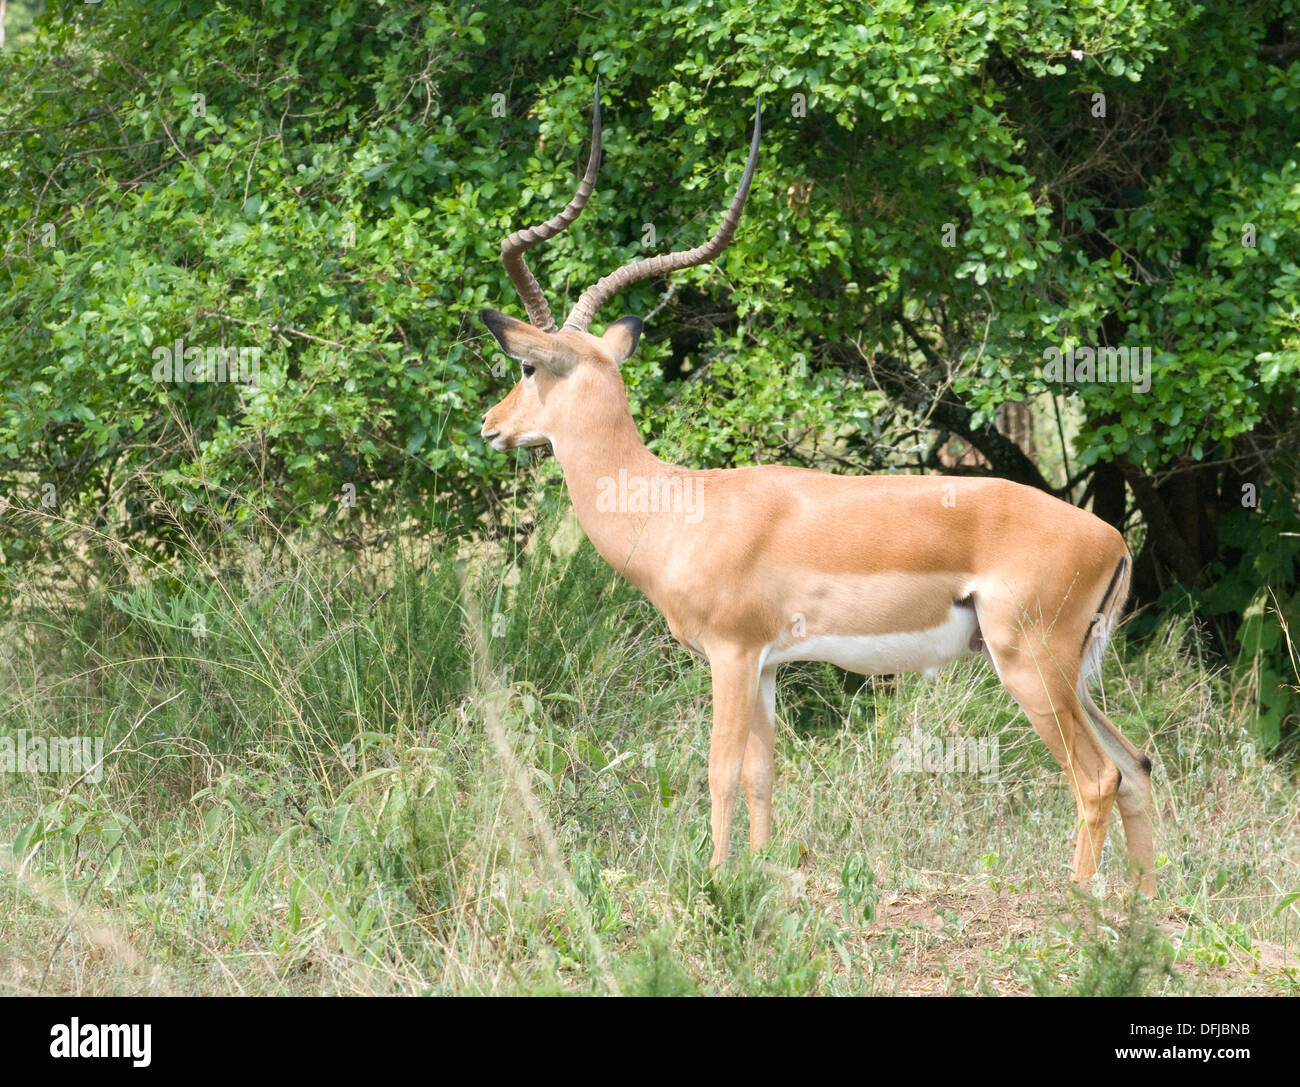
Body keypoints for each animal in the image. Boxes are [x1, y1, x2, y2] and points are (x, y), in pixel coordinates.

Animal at [478, 83, 1156, 894]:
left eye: (527, 367)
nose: (490, 426)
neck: (673, 506)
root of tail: (1112, 538)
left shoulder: (731, 655)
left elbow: (719, 772)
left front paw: (716, 880)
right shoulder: (770, 664)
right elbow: (763, 774)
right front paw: (761, 874)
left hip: (1030, 665)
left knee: (1097, 778)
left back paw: (1079, 898)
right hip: (1076, 674)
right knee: (1138, 765)